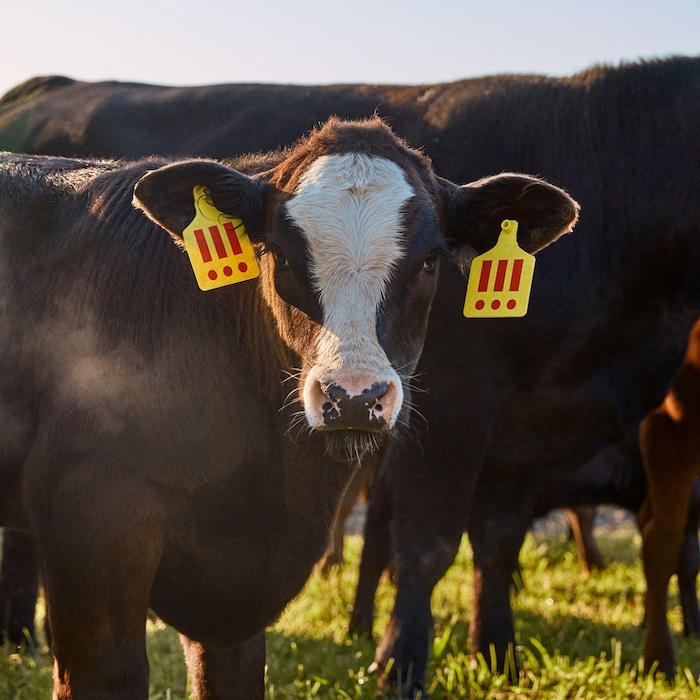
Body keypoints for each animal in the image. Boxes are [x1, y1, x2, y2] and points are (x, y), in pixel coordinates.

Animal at [1, 56, 697, 694]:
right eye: (279, 253)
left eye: (429, 261)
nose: (355, 397)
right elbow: (427, 543)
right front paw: (401, 664)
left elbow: (496, 538)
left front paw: (498, 657)